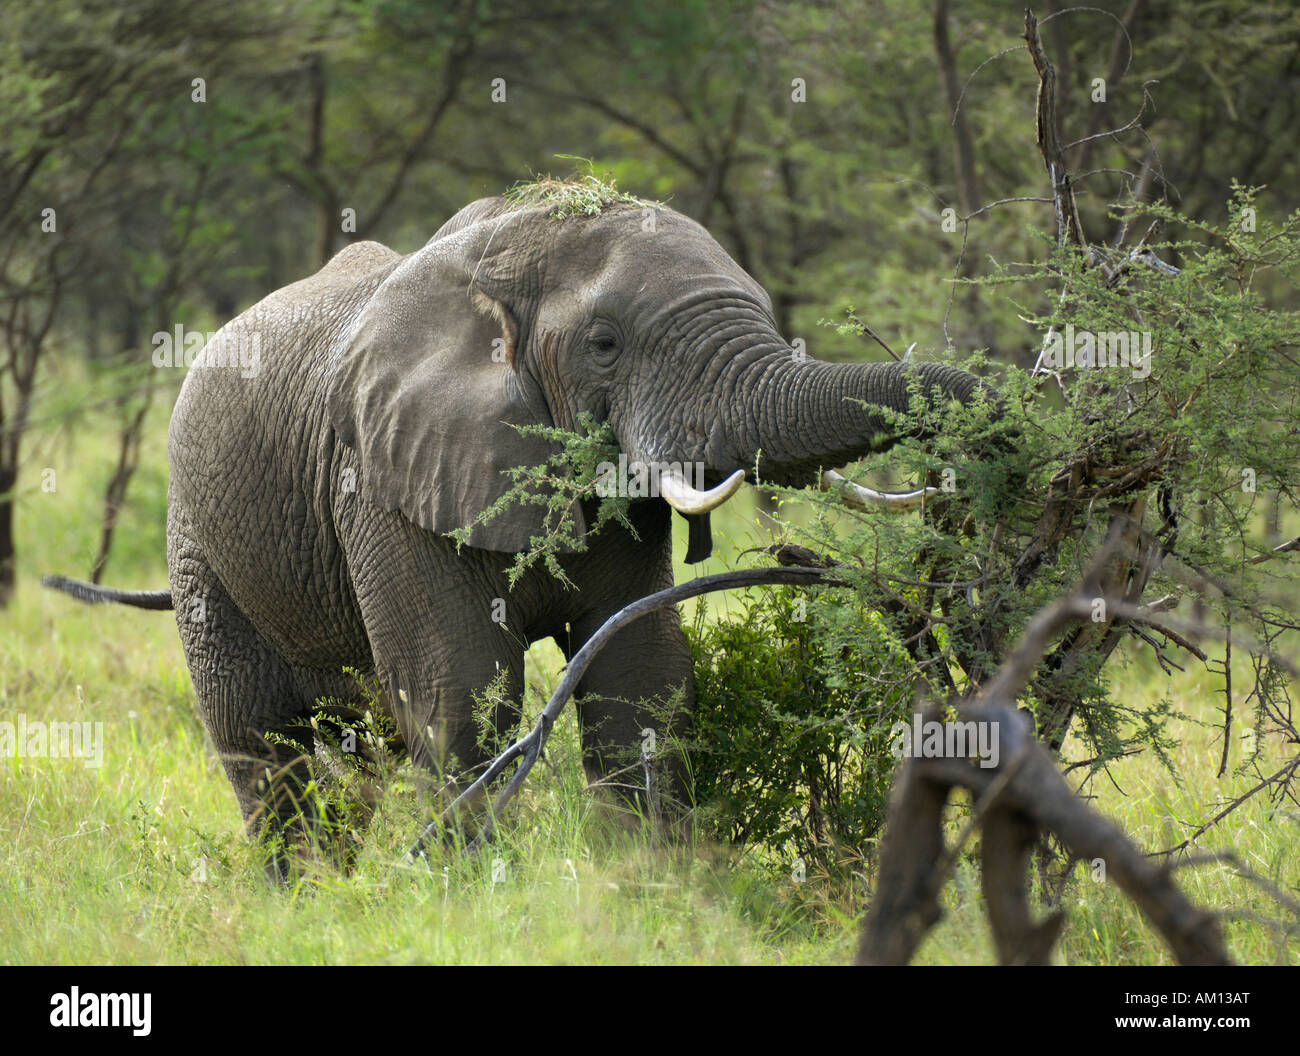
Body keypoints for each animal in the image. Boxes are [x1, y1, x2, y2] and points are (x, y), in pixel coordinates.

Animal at [46, 188, 995, 872]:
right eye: (605, 344)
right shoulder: (380, 480)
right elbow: (459, 684)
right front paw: (468, 892)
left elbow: (638, 672)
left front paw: (648, 884)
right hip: (200, 541)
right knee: (260, 740)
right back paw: (300, 895)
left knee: (353, 753)